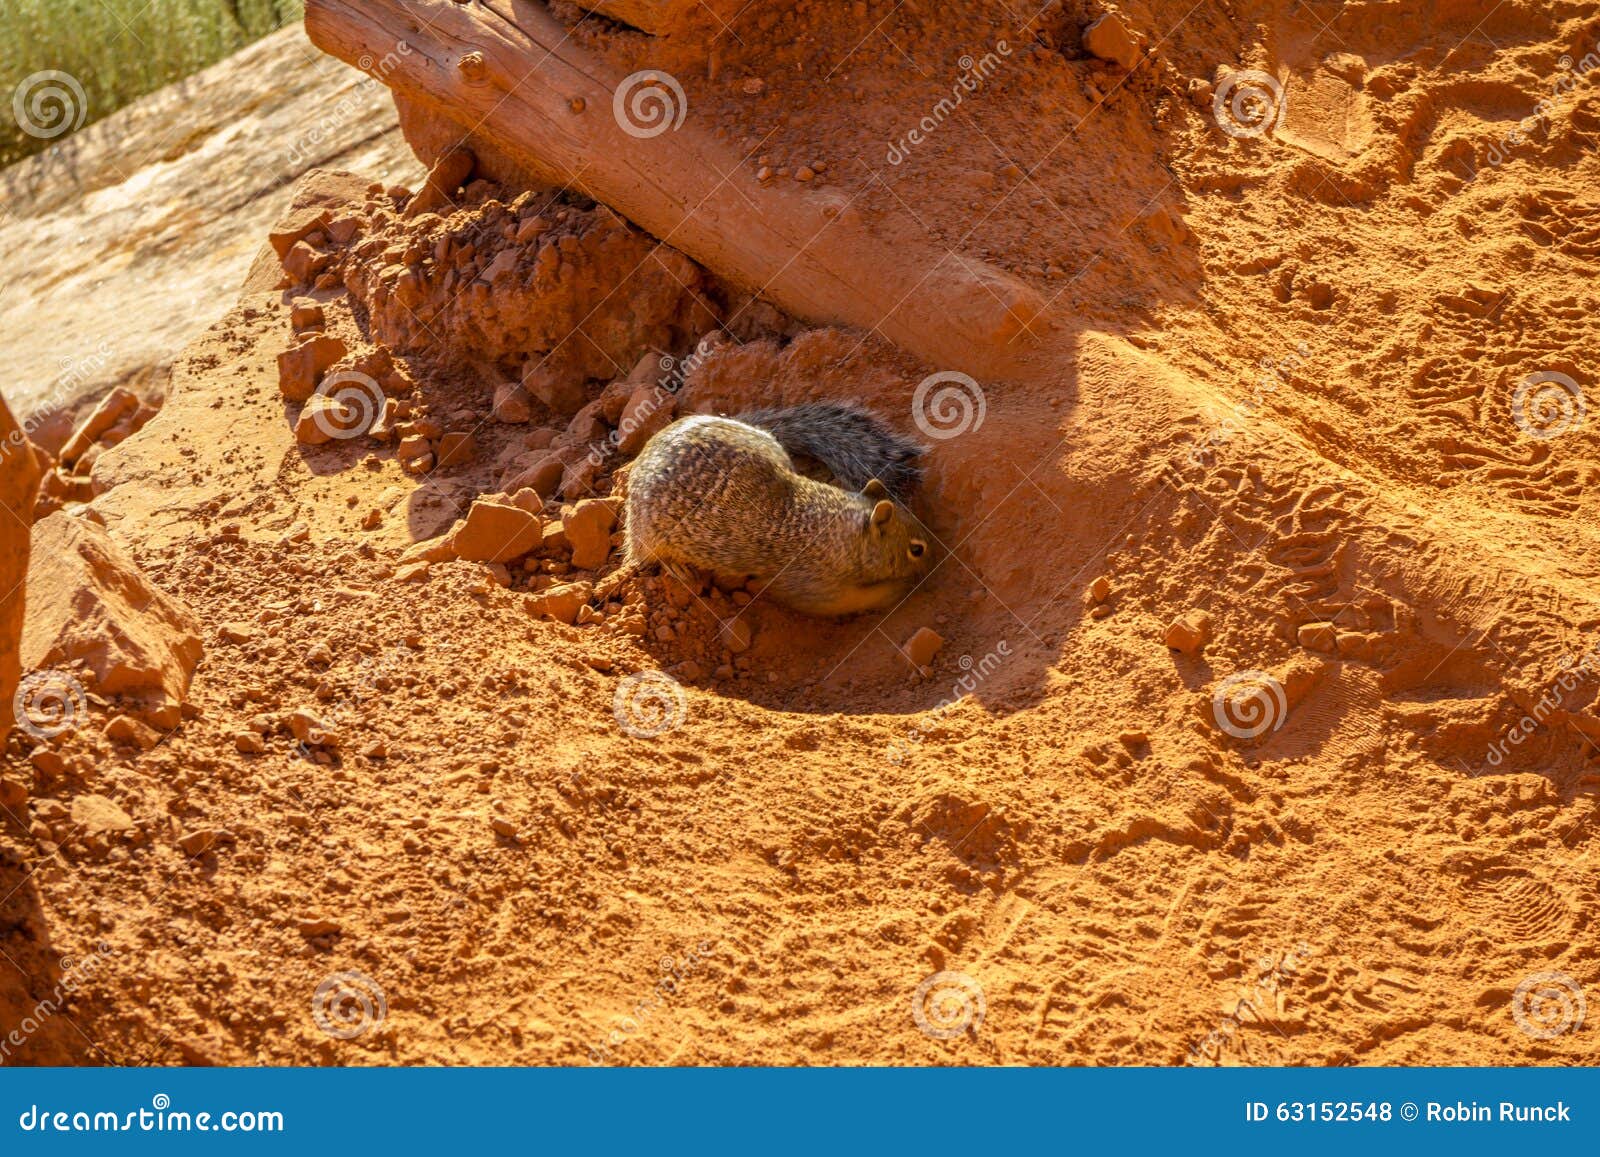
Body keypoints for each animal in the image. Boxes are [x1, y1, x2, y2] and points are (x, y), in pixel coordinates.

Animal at [596, 402, 933, 616]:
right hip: (648, 532)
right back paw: (675, 566)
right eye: (916, 549)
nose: (933, 566)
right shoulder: (810, 585)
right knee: (645, 554)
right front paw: (896, 589)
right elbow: (842, 602)